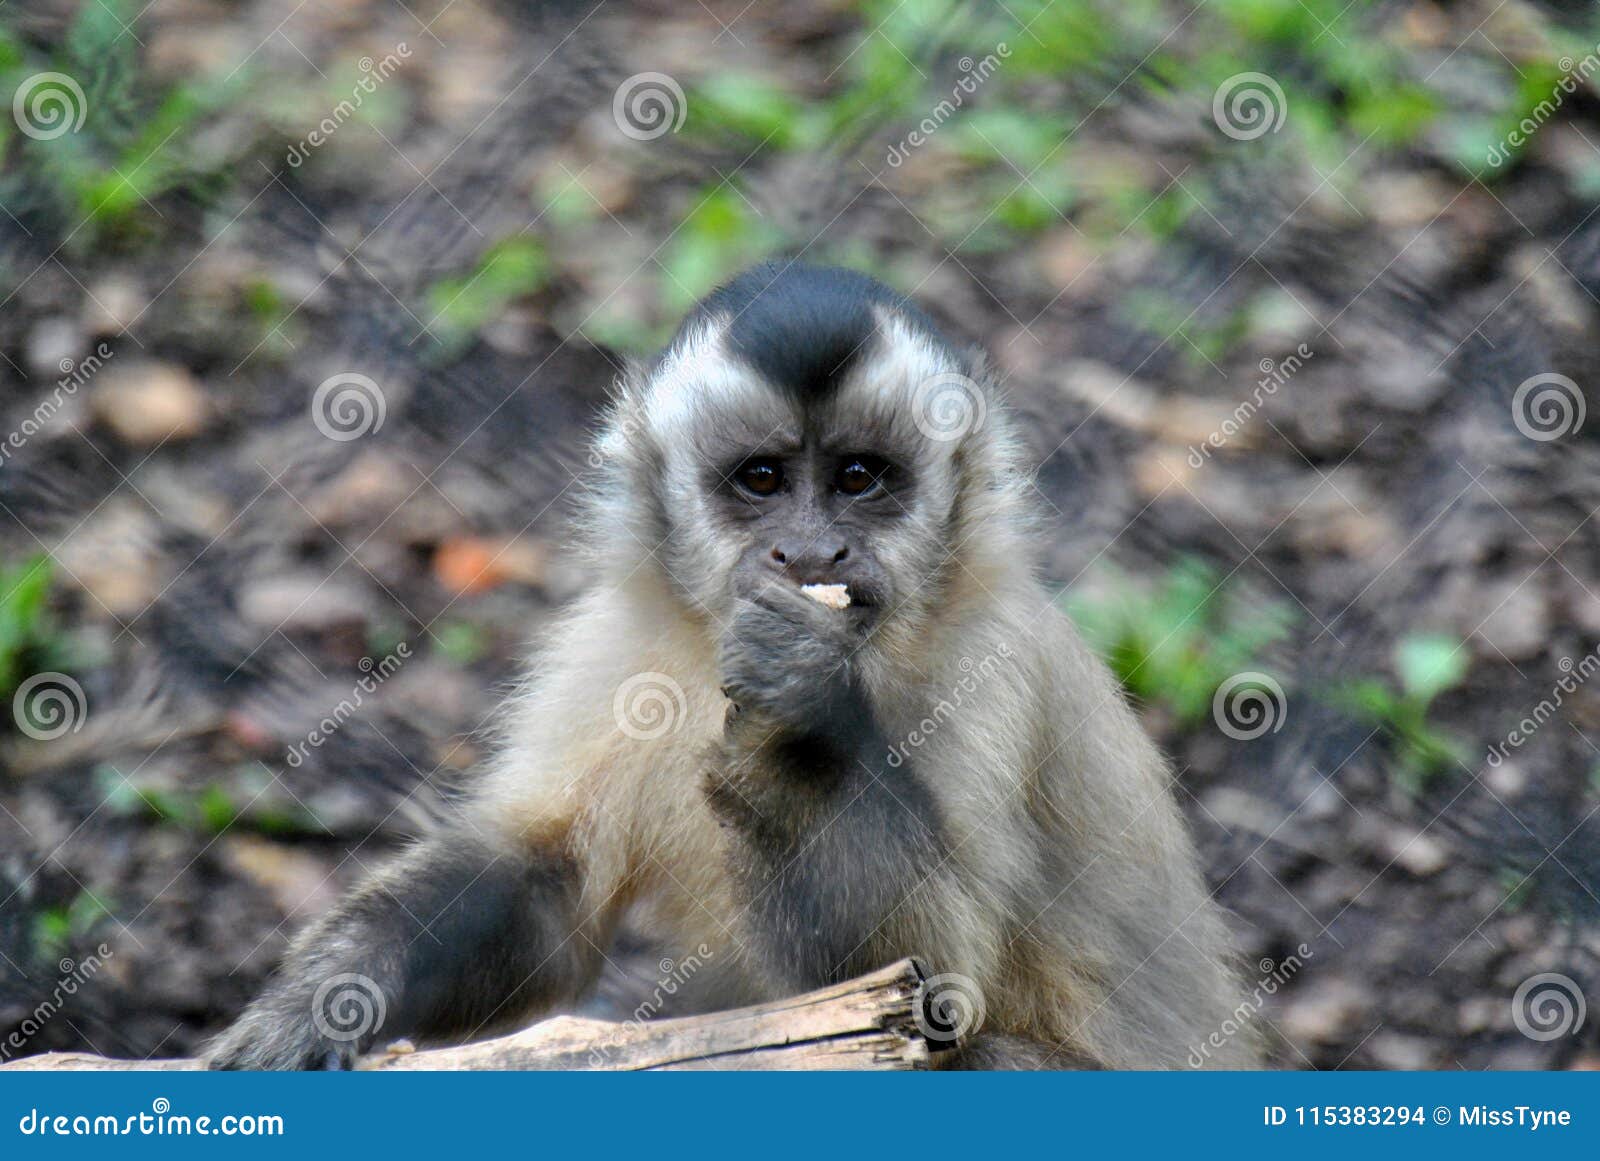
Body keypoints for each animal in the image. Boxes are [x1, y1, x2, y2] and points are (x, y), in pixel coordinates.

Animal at [206, 262, 1257, 1070]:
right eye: (761, 479)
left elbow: (932, 998)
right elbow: (546, 886)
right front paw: (333, 992)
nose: (813, 554)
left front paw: (799, 727)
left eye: (858, 478)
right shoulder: (617, 637)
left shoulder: (991, 659)